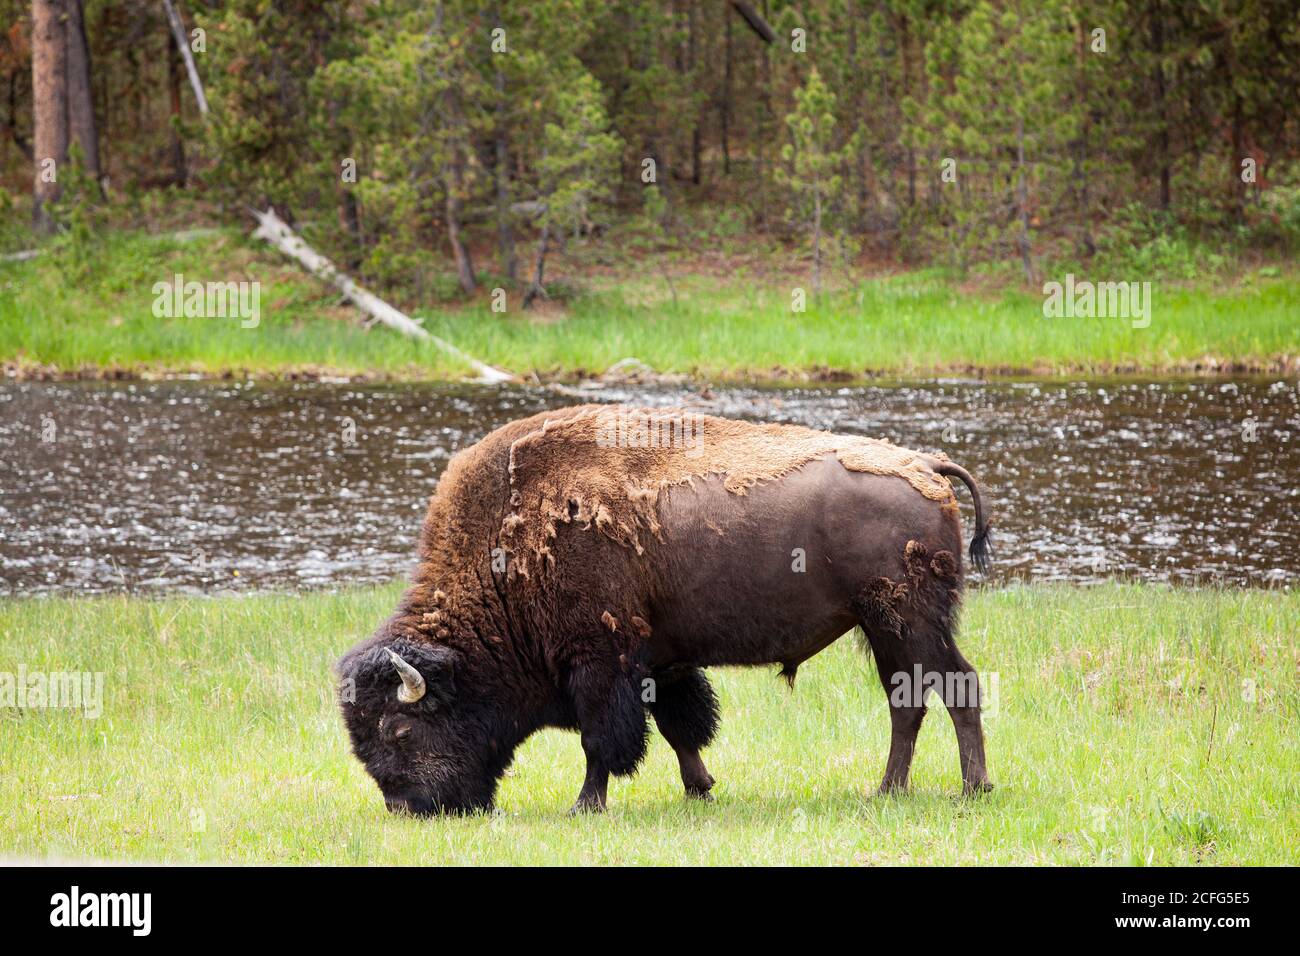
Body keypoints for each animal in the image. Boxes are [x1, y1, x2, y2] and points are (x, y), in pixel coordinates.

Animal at [337, 405, 992, 815]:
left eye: (399, 729)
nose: (406, 808)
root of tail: (926, 465)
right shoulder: (661, 662)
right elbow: (680, 726)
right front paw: (700, 789)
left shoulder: (600, 662)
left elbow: (603, 740)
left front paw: (585, 806)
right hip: (883, 629)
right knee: (907, 701)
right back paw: (888, 791)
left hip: (910, 622)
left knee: (956, 686)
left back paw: (971, 789)